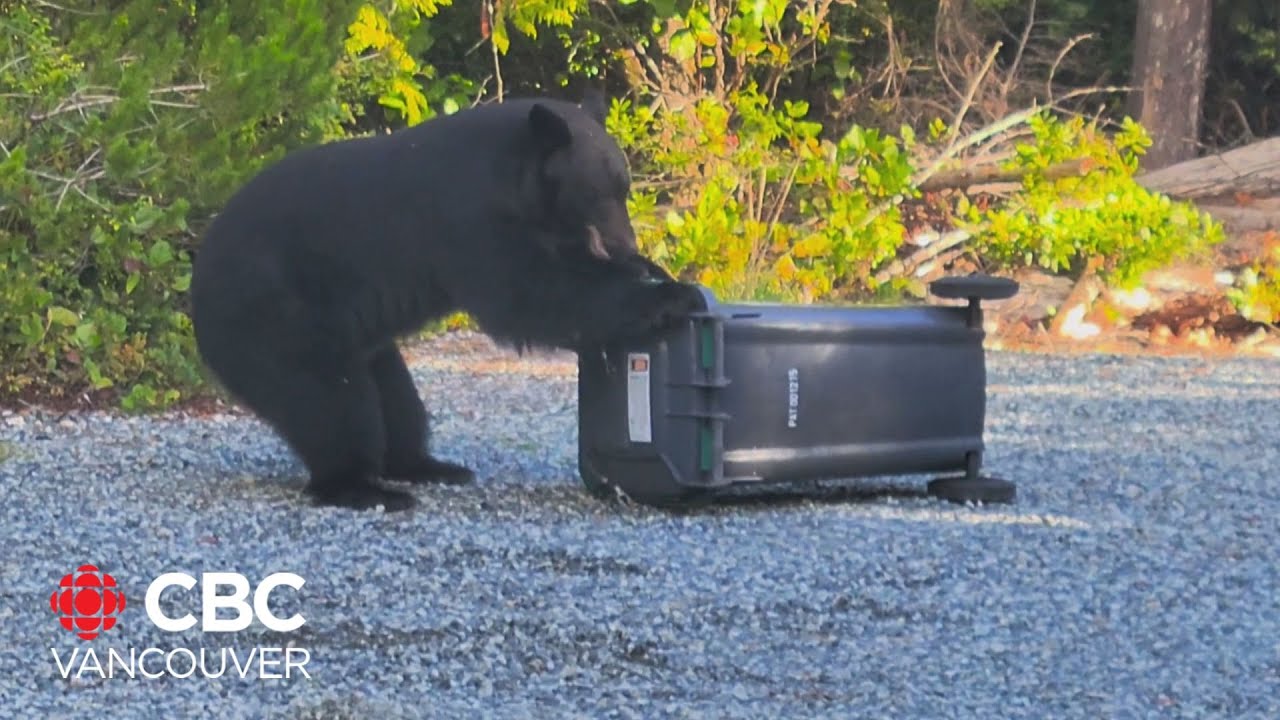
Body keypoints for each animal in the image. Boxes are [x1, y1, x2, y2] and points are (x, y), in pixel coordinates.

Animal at [188, 93, 704, 511]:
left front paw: (651, 271)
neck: (509, 175)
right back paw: (362, 488)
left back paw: (426, 465)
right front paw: (672, 296)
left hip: (359, 339)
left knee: (397, 401)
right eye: (597, 192)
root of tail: (197, 286)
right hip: (277, 317)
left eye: (625, 187)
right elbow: (528, 293)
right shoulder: (467, 219)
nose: (623, 243)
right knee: (331, 402)